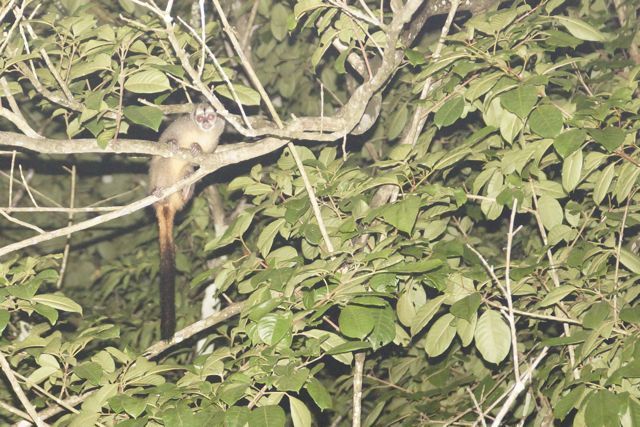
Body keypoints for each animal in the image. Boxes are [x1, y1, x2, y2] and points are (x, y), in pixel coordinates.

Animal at [149, 103, 225, 340]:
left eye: (210, 117)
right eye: (200, 118)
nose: (206, 123)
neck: (200, 132)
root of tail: (167, 207)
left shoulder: (217, 133)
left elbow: (206, 157)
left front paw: (197, 149)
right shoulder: (180, 124)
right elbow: (163, 141)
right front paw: (172, 143)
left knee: (190, 170)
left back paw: (186, 189)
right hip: (159, 180)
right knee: (163, 162)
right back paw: (159, 193)